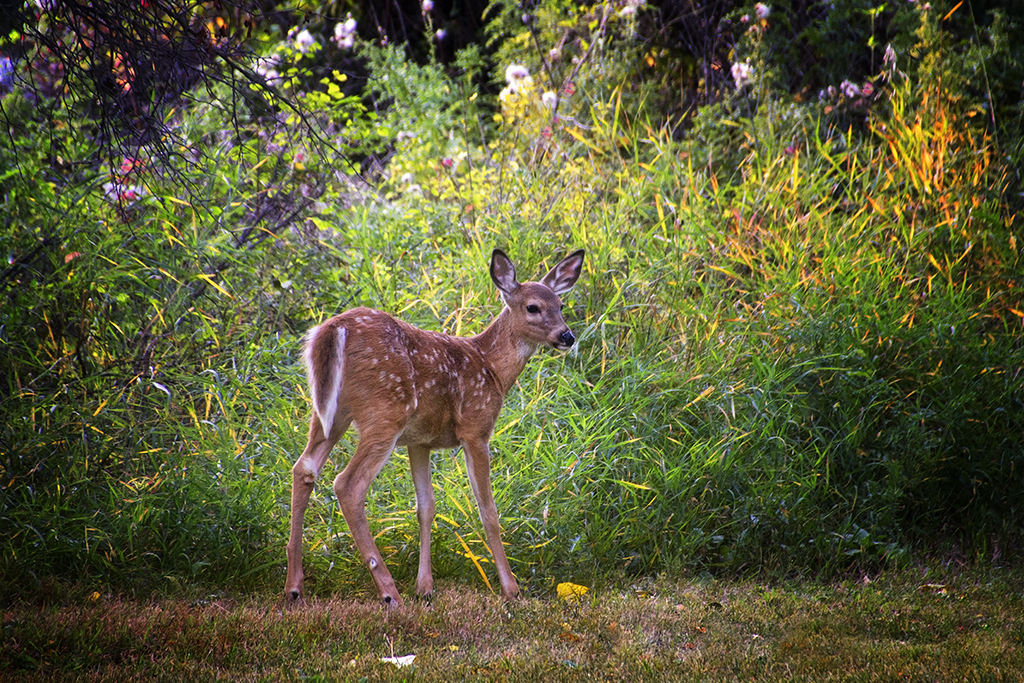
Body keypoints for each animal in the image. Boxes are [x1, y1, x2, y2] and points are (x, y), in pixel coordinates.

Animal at [285, 248, 585, 606]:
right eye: (533, 307)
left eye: (561, 305)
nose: (567, 336)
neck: (492, 369)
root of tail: (332, 330)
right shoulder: (475, 428)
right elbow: (488, 510)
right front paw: (510, 588)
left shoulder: (420, 441)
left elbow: (426, 508)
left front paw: (425, 586)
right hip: (385, 410)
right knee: (348, 484)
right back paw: (389, 593)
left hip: (331, 412)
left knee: (304, 467)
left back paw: (294, 586)